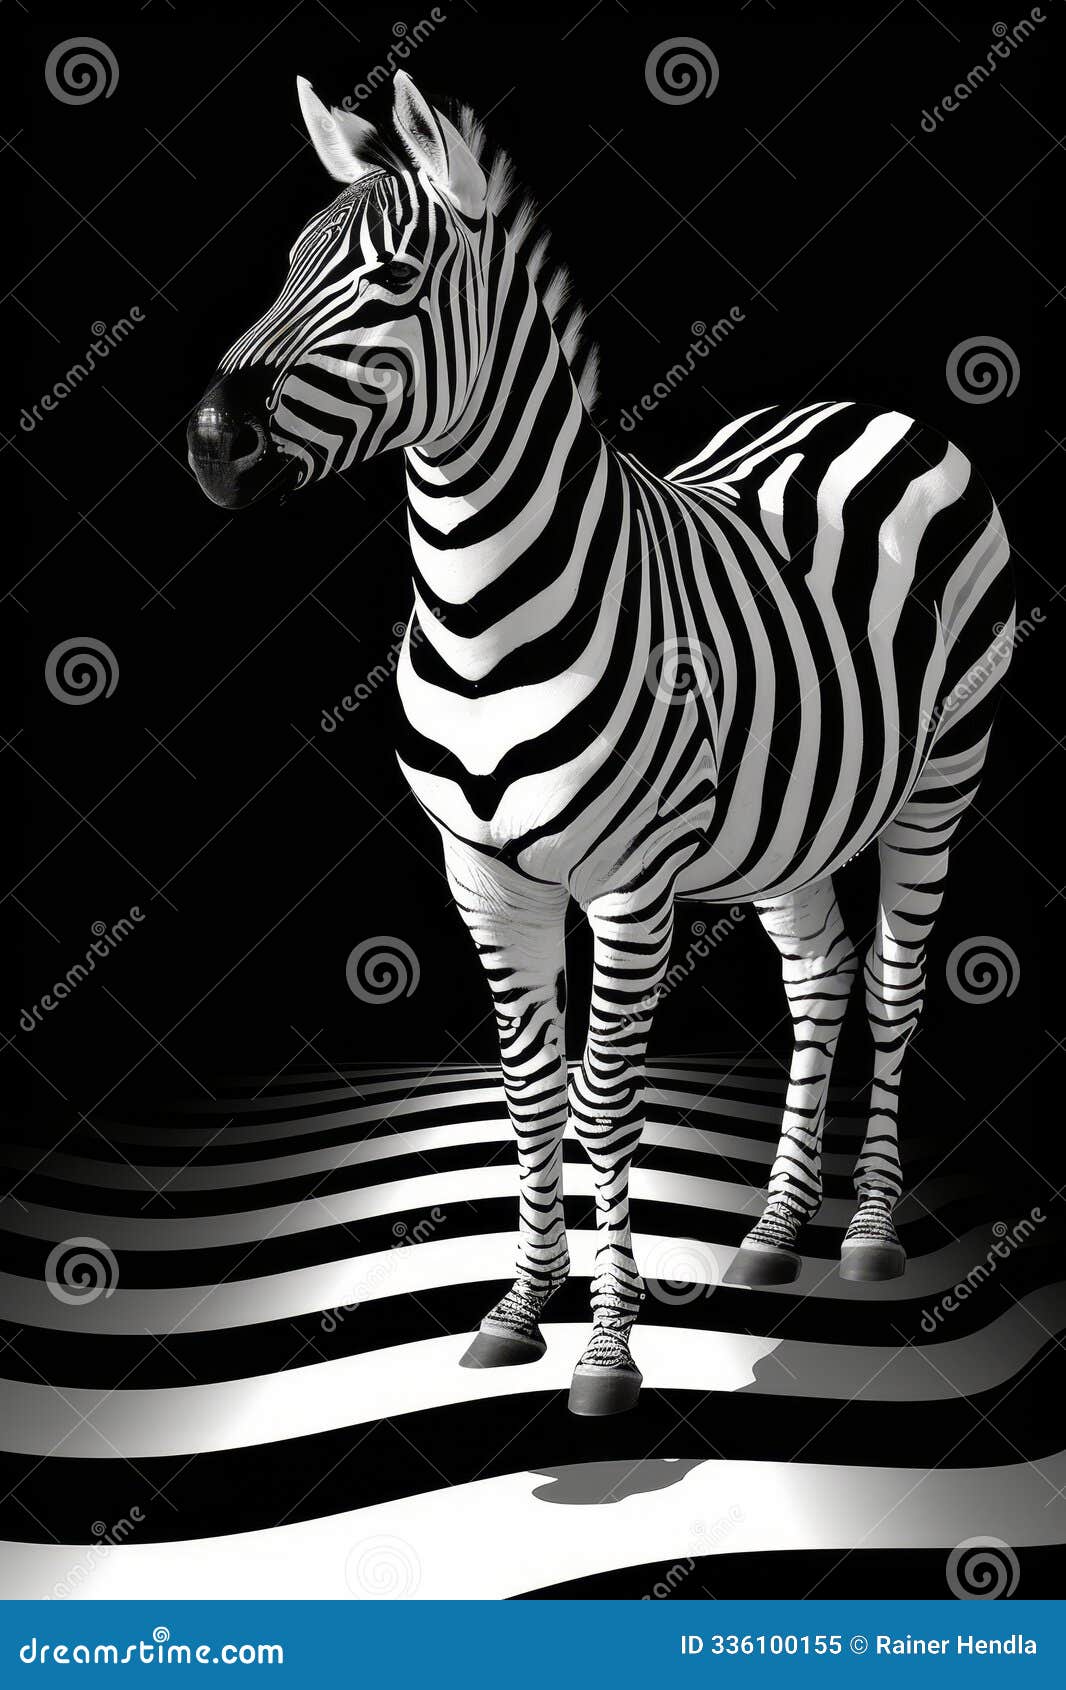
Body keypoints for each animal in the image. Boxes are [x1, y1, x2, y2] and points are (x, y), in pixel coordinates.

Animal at [187, 72, 1015, 1416]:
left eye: (393, 279)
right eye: (290, 263)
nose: (214, 438)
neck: (483, 612)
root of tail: (874, 406)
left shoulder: (630, 882)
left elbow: (604, 1098)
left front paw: (608, 1353)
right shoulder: (481, 876)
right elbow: (530, 1099)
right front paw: (519, 1311)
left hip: (939, 780)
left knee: (893, 983)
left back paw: (866, 1235)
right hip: (791, 819)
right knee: (819, 975)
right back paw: (774, 1232)